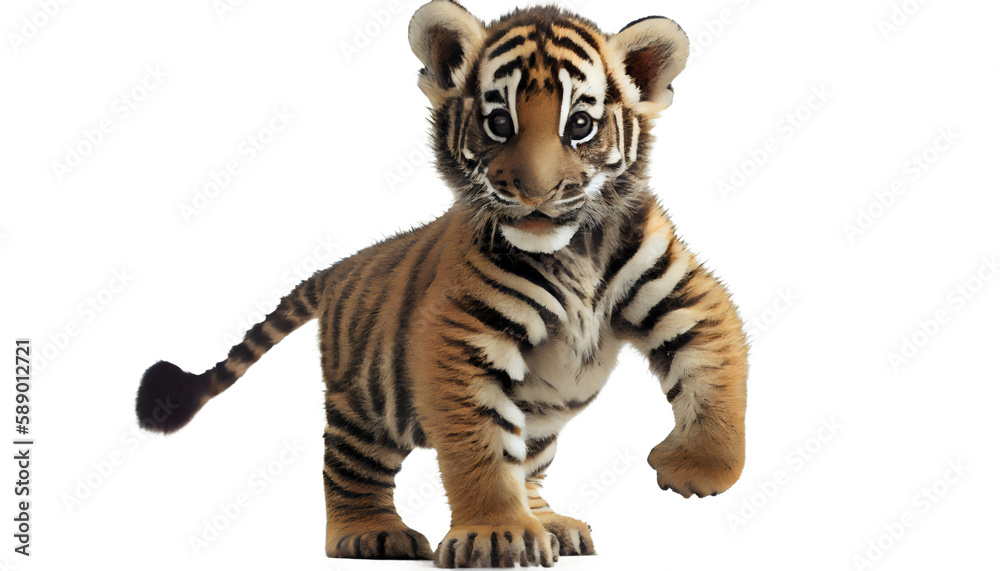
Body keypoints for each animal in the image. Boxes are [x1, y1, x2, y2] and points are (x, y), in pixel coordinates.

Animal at [134, 0, 749, 567]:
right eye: (499, 122)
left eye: (579, 125)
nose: (536, 195)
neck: (570, 251)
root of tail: (340, 268)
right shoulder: (462, 339)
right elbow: (482, 449)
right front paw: (498, 535)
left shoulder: (682, 294)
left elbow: (714, 373)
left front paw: (699, 469)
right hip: (366, 404)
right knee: (348, 467)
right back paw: (371, 534)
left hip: (539, 419)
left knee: (531, 461)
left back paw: (551, 525)